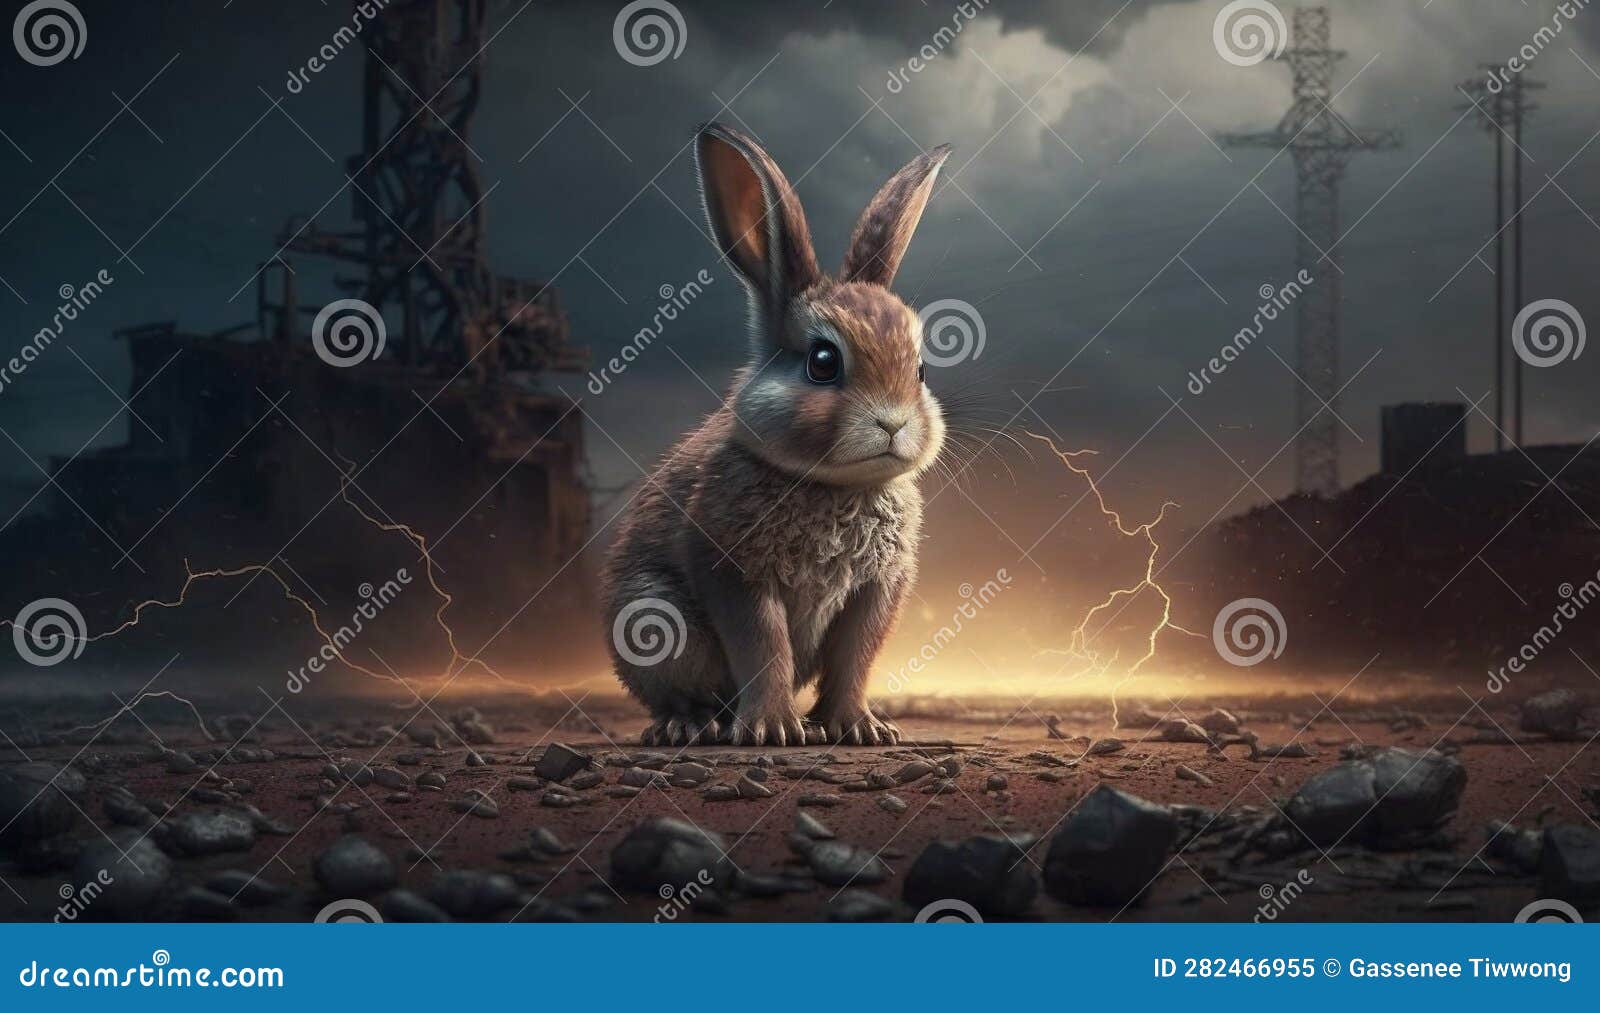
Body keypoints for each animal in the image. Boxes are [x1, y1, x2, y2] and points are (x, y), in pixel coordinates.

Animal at [602, 122, 951, 747]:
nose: (893, 422)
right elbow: (762, 647)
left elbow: (855, 658)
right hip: (653, 614)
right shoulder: (735, 572)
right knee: (680, 689)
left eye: (920, 370)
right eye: (822, 362)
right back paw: (689, 726)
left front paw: (860, 728)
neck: (833, 486)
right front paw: (772, 730)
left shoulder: (877, 589)